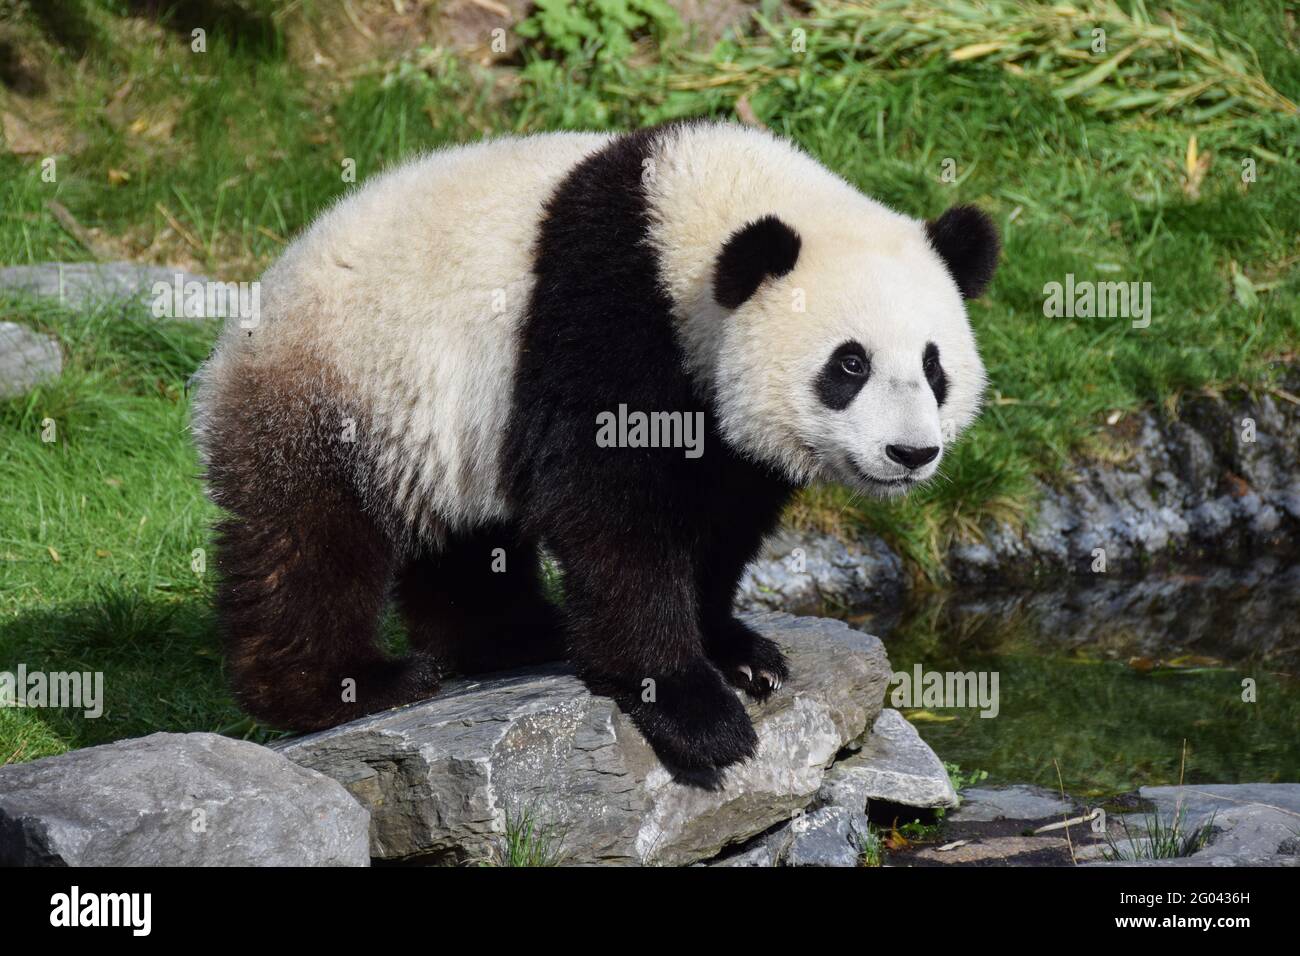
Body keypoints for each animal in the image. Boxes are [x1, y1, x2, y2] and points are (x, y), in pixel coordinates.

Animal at [191, 120, 998, 782]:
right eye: (850, 364)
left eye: (934, 367)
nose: (910, 453)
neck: (684, 219)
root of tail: (253, 312)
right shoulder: (601, 311)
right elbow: (608, 510)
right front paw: (693, 711)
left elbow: (720, 516)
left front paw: (739, 653)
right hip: (341, 389)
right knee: (311, 542)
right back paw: (348, 685)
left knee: (464, 540)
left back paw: (513, 637)